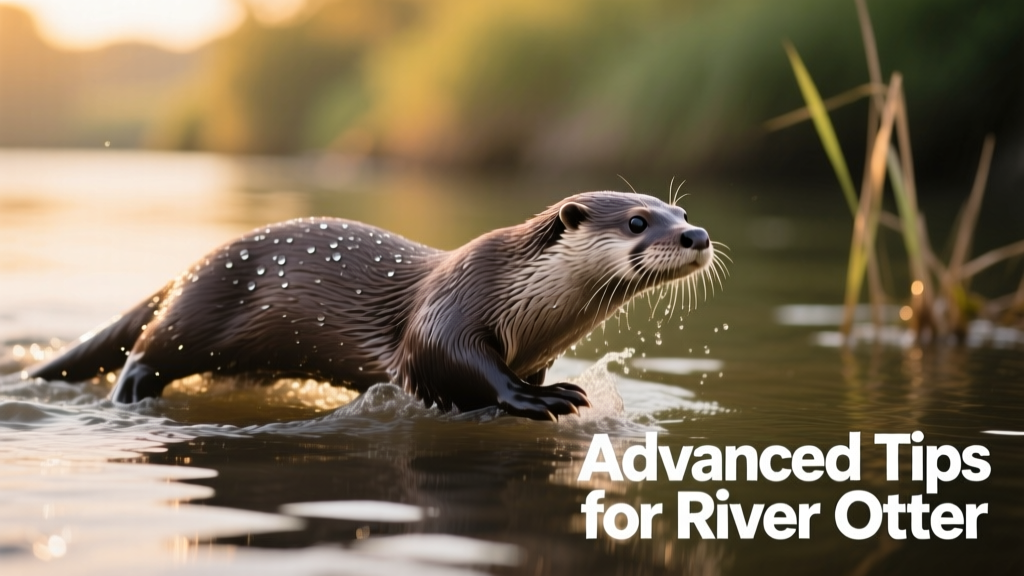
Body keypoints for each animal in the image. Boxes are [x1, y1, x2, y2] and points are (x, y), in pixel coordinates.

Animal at [26, 191, 719, 421]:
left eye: (680, 209)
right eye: (637, 221)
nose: (697, 234)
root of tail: (189, 266)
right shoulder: (449, 309)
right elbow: (453, 365)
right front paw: (538, 400)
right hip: (199, 305)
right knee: (146, 349)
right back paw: (131, 395)